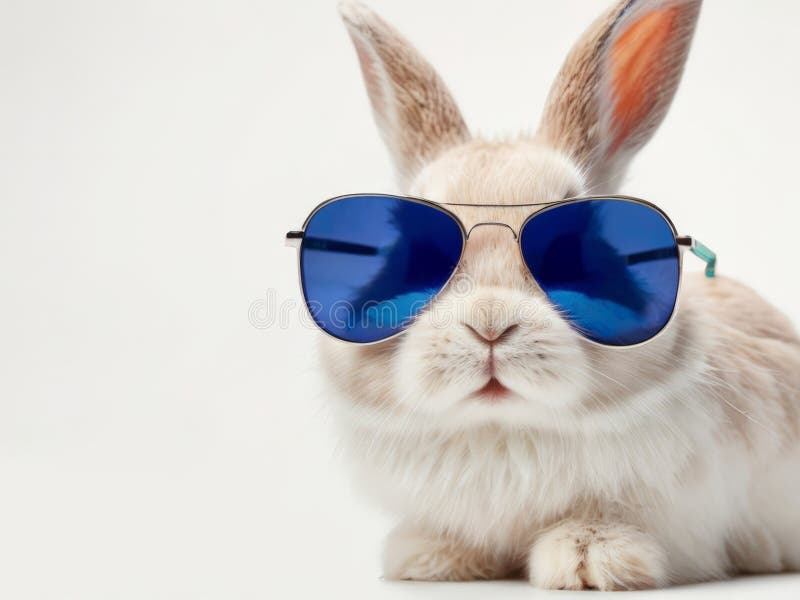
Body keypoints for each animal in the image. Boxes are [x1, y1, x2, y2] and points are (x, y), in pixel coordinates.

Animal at [317, 0, 800, 590]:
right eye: (415, 255)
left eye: (572, 252)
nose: (489, 324)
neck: (502, 430)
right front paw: (430, 559)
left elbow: (604, 520)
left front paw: (591, 560)